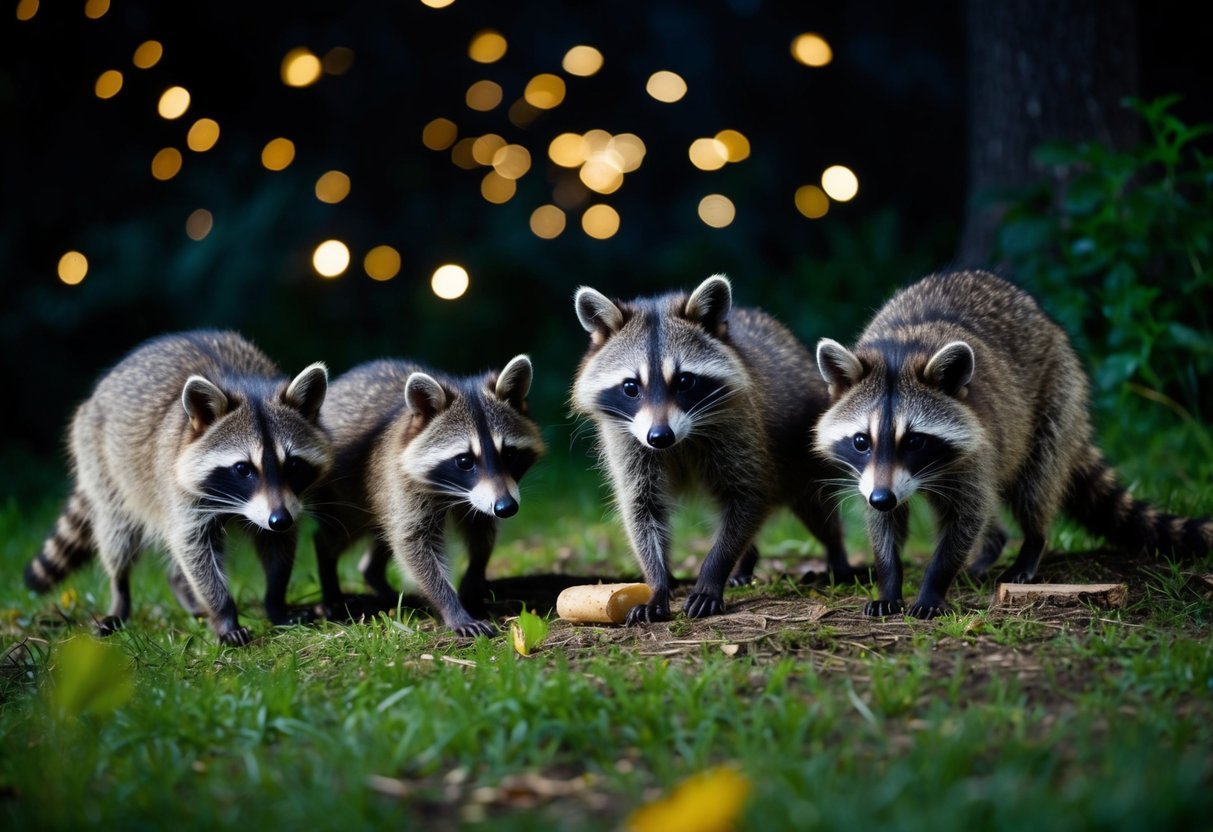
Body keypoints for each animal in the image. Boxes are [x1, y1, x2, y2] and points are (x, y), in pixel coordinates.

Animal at [24, 331, 332, 645]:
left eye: (292, 465)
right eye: (242, 469)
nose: (279, 519)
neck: (245, 385)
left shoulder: (282, 502)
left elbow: (277, 545)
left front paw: (276, 602)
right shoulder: (178, 485)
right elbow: (193, 546)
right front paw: (224, 614)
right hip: (100, 462)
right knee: (117, 535)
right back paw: (120, 594)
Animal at [310, 355, 544, 637]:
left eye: (509, 454)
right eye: (464, 461)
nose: (507, 507)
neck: (455, 492)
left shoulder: (484, 498)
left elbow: (482, 533)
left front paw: (474, 578)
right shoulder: (400, 478)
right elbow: (414, 544)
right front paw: (450, 606)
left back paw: (376, 577)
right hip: (346, 492)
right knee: (339, 533)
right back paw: (332, 585)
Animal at [572, 274, 860, 624]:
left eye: (685, 381)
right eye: (630, 387)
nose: (660, 436)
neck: (679, 440)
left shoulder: (739, 428)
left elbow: (748, 496)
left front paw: (711, 575)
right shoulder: (627, 439)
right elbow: (642, 508)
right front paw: (658, 583)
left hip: (802, 458)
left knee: (816, 508)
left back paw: (836, 554)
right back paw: (745, 560)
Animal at [815, 270, 1213, 619]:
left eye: (914, 441)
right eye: (861, 441)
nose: (882, 497)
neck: (899, 353)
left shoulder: (977, 447)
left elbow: (968, 514)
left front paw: (934, 585)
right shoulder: (873, 478)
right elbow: (884, 524)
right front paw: (889, 581)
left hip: (1057, 396)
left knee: (1034, 486)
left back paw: (1032, 542)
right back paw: (992, 544)